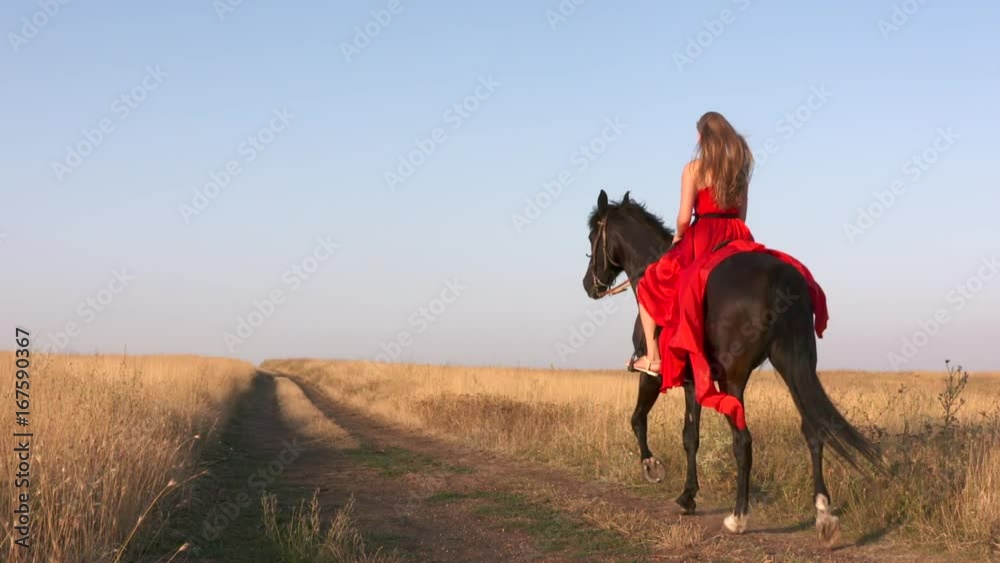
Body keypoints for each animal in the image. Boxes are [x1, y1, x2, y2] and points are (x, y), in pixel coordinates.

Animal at [581, 189, 886, 545]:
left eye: (592, 235)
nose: (589, 285)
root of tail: (781, 277)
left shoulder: (653, 376)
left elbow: (639, 419)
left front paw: (653, 468)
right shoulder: (693, 381)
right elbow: (691, 436)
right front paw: (688, 495)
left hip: (734, 378)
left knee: (743, 440)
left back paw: (738, 517)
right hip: (793, 364)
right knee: (813, 429)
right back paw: (823, 514)